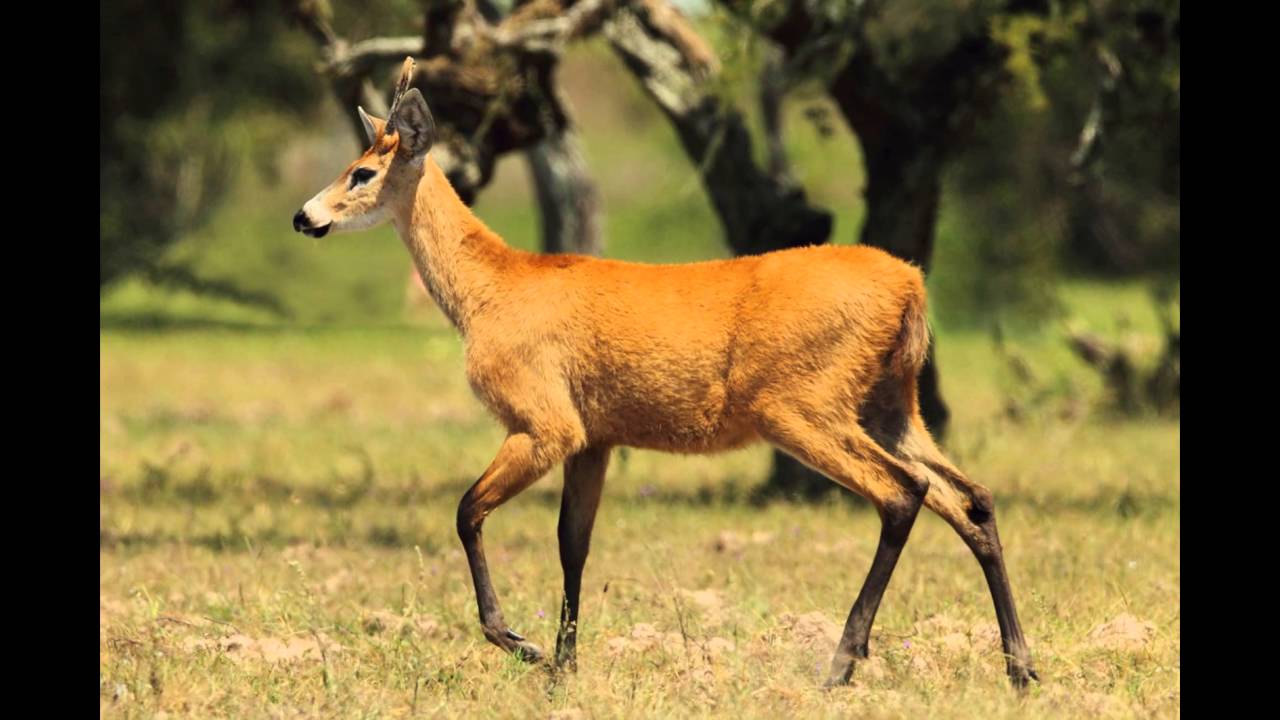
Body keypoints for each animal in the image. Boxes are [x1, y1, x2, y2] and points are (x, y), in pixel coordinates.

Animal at [292, 58, 1039, 689]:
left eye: (361, 172)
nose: (304, 216)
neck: (493, 288)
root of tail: (909, 283)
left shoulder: (545, 423)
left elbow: (467, 511)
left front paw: (521, 644)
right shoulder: (594, 438)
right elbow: (572, 543)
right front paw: (564, 665)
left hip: (801, 407)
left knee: (903, 493)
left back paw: (840, 664)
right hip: (891, 405)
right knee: (971, 498)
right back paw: (1020, 667)